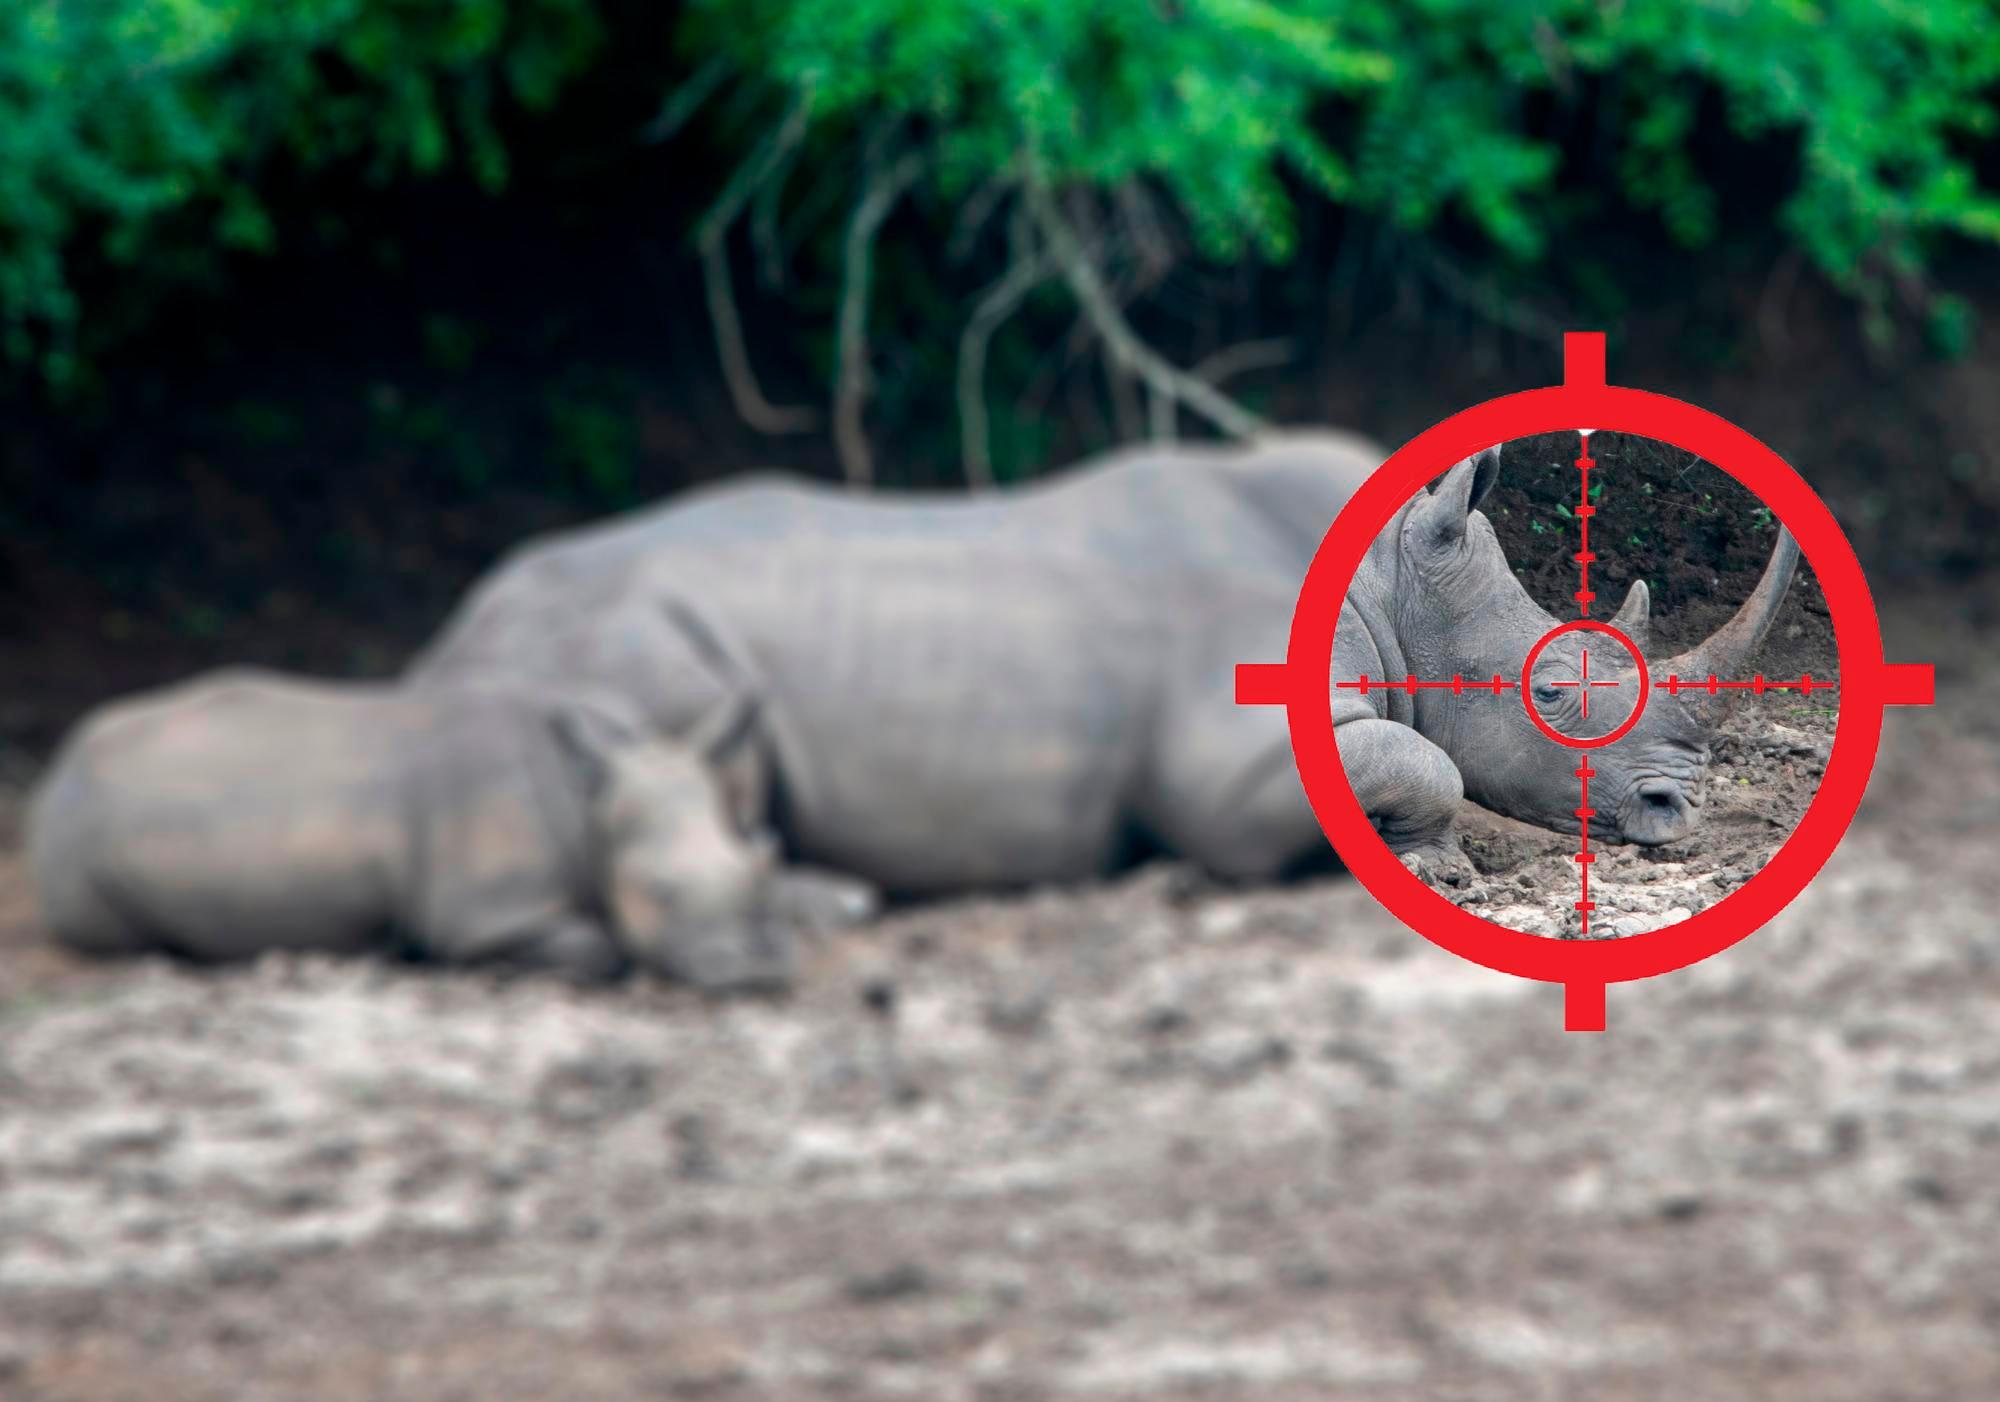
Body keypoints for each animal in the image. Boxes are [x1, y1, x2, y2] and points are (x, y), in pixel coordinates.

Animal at [24, 669, 845, 986]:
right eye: (658, 891)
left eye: (758, 854)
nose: (755, 969)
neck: (588, 803)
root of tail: (56, 772)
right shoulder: (482, 912)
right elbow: (598, 945)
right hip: (73, 846)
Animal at [407, 434, 1795, 889]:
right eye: (1553, 690)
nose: (1673, 812)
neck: (1393, 581)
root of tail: (451, 635)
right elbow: (1424, 763)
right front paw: (1440, 866)